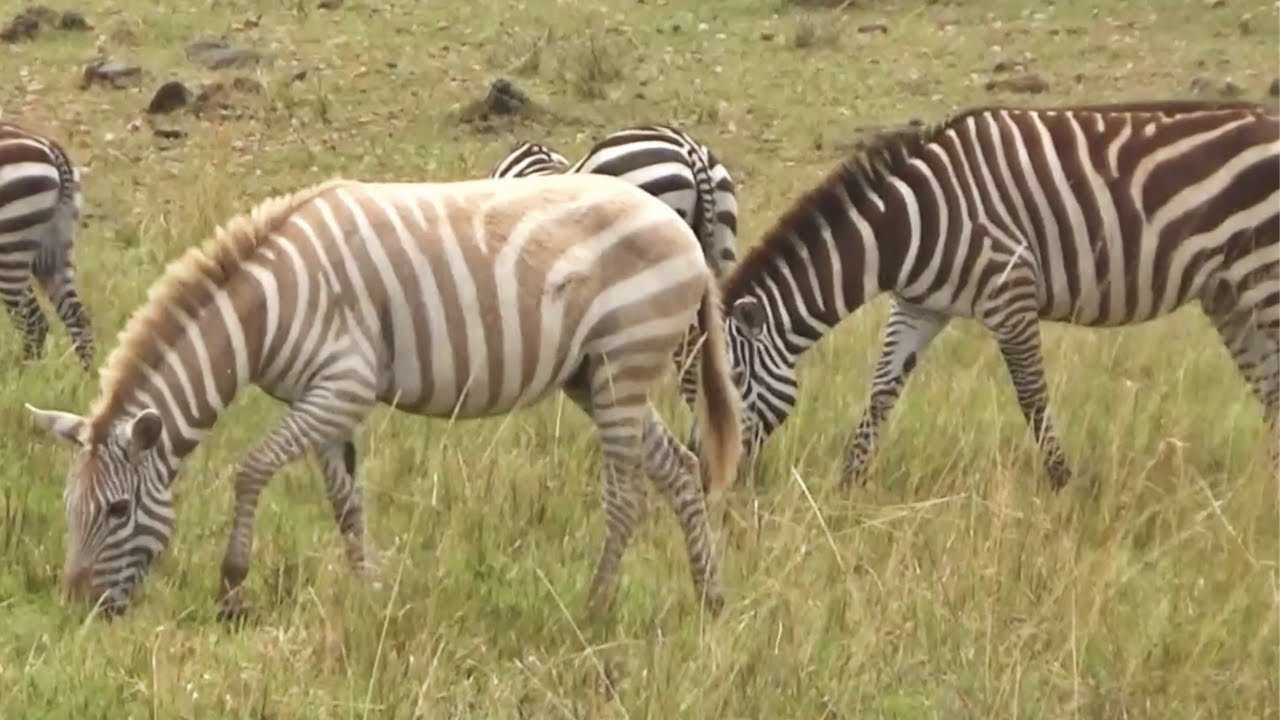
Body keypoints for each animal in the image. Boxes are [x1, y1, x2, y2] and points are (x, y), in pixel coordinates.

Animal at [0, 121, 95, 369]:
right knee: (78, 319)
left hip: (10, 257)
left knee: (34, 325)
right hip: (56, 249)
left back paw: (24, 377)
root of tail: (52, 150)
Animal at [25, 172, 743, 619]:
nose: (78, 609)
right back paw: (709, 599)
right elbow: (345, 503)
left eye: (118, 511)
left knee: (626, 499)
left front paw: (231, 587)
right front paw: (369, 592)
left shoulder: (343, 386)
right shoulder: (320, 403)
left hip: (626, 362)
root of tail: (683, 232)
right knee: (680, 471)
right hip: (595, 376)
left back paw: (594, 608)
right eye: (67, 509)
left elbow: (250, 468)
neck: (268, 307)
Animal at [717, 99, 1278, 489]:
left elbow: (1032, 396)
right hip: (1228, 292)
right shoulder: (917, 307)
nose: (722, 480)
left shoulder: (1010, 290)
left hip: (1263, 274)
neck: (905, 225)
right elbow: (881, 392)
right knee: (1268, 384)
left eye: (733, 381)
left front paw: (1063, 487)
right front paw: (846, 487)